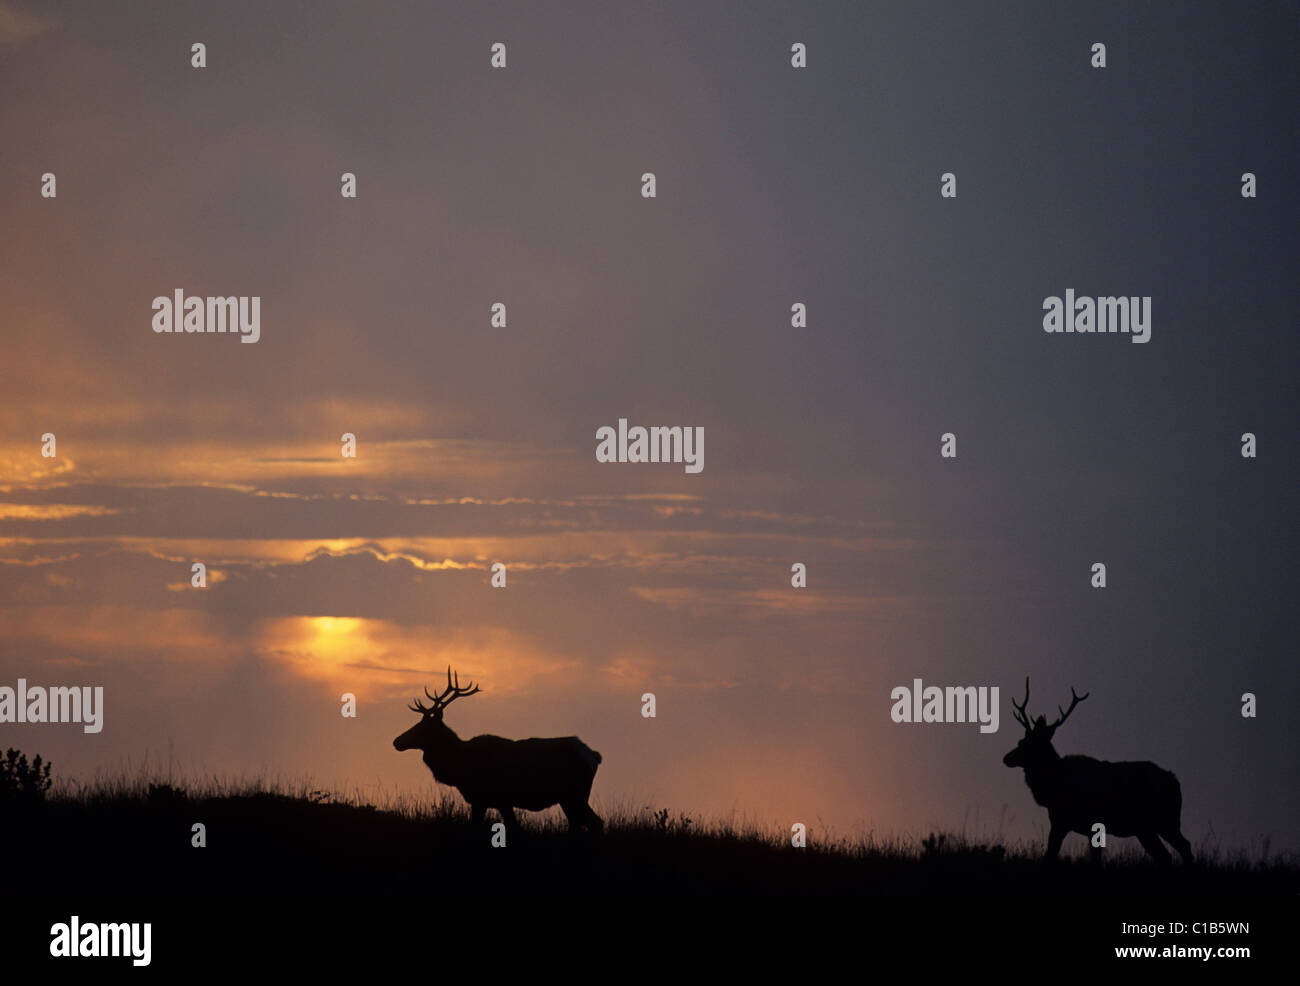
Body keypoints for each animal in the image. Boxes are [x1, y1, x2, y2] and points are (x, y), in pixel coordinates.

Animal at [393, 667, 604, 834]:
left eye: (422, 726)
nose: (396, 741)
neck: (460, 768)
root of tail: (594, 756)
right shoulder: (490, 801)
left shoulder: (493, 798)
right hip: (569, 797)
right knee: (588, 823)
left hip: (575, 793)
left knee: (591, 823)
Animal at [1003, 678, 1193, 865]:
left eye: (1024, 743)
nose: (1006, 758)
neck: (1052, 791)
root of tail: (1175, 782)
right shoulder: (1063, 822)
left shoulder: (1074, 822)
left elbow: (1058, 856)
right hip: (1152, 827)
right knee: (1170, 853)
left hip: (1162, 821)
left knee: (1181, 848)